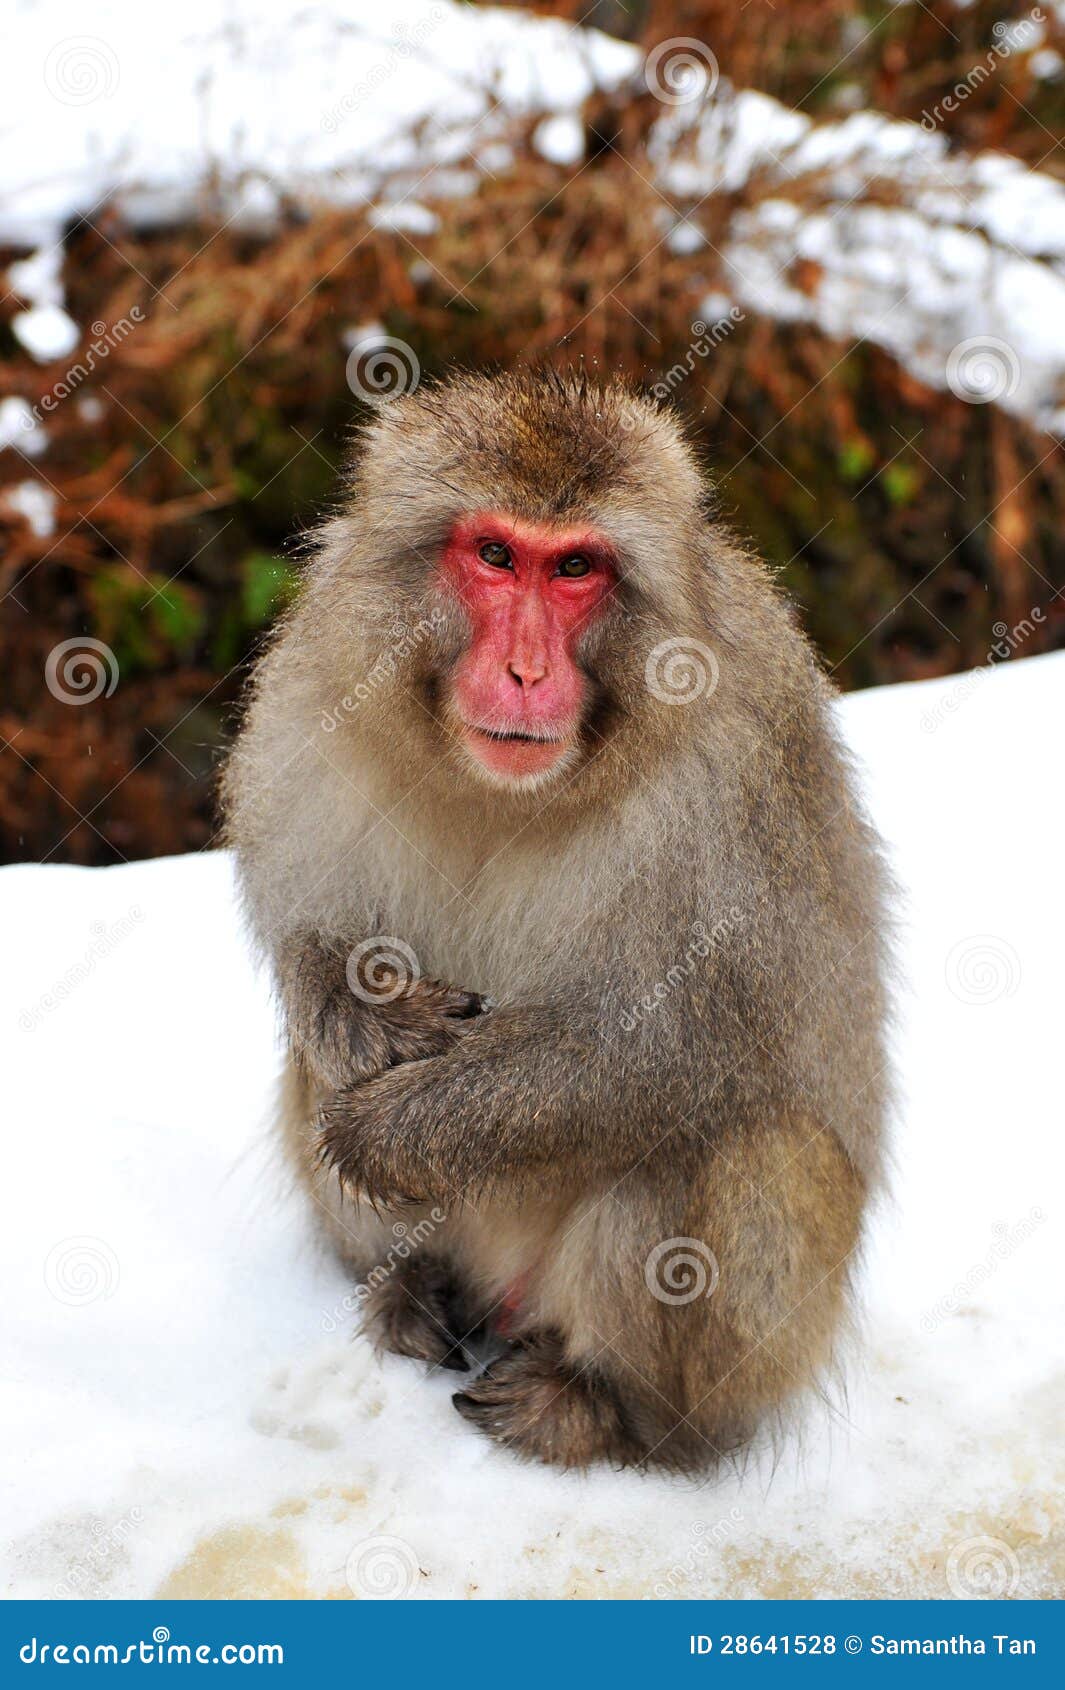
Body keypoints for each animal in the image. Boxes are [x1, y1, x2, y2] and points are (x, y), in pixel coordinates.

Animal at [222, 368, 891, 1473]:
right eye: (496, 555)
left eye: (576, 567)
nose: (527, 673)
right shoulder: (317, 677)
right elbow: (306, 923)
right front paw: (359, 1018)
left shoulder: (736, 773)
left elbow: (676, 1049)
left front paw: (386, 1130)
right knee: (309, 1067)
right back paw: (412, 1289)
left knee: (738, 1146)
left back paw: (600, 1407)